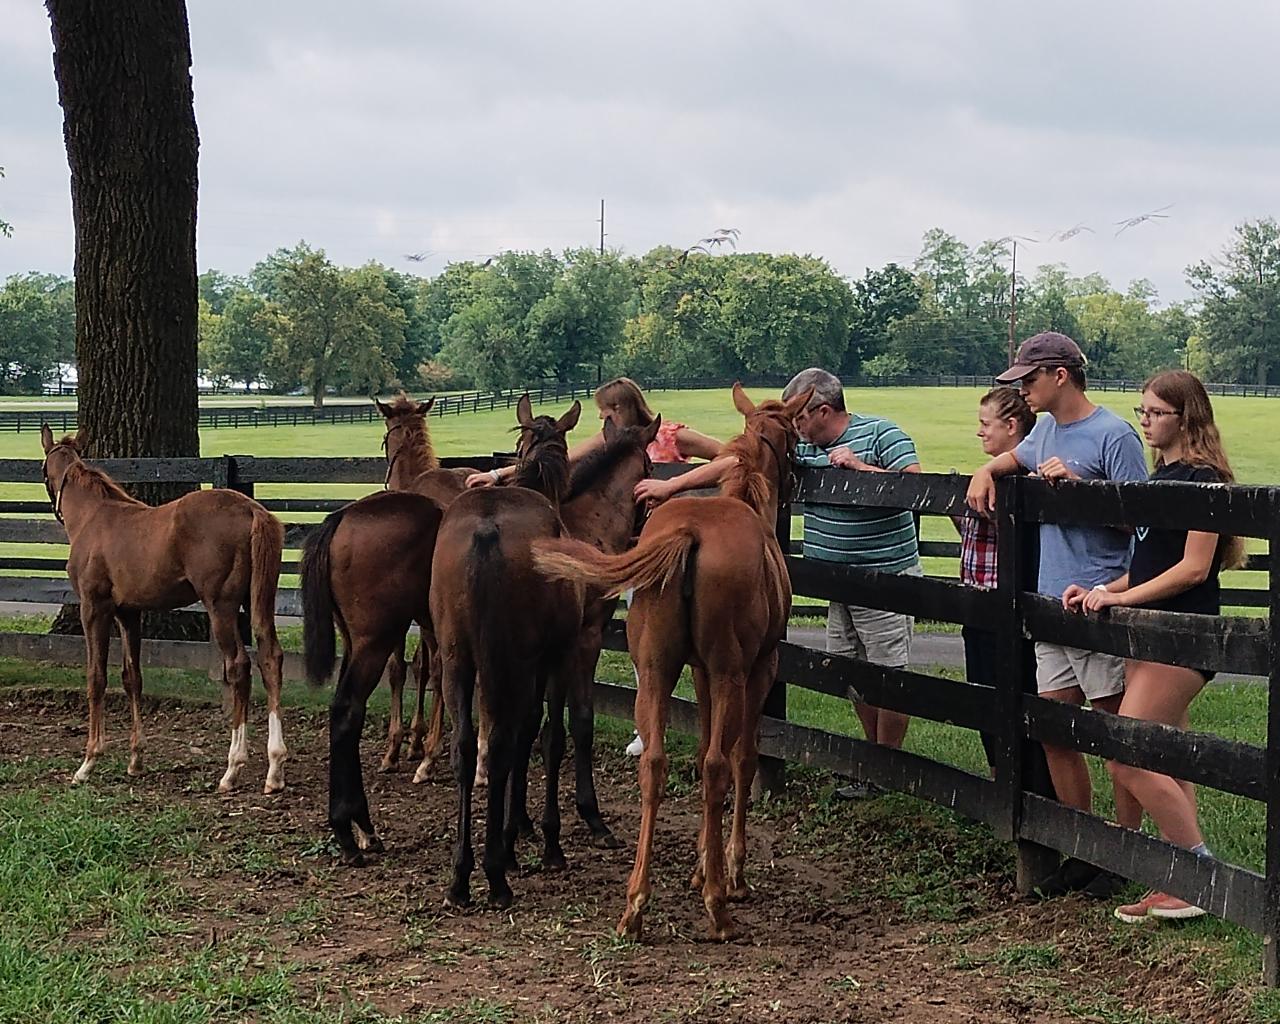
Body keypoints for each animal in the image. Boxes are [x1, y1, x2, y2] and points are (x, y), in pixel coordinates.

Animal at [39, 425, 287, 794]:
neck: (93, 517)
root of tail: (252, 511)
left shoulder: (93, 608)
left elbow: (96, 677)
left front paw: (88, 762)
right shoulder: (128, 613)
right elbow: (132, 678)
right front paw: (136, 759)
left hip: (221, 607)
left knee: (239, 667)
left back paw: (232, 767)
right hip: (258, 601)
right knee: (270, 658)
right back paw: (274, 768)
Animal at [299, 488, 444, 866]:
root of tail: (342, 518)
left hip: (355, 642)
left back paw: (360, 829)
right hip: (374, 641)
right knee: (348, 712)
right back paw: (351, 829)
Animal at [430, 395, 583, 909]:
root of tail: (485, 532)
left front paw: (513, 836)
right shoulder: (554, 658)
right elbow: (546, 737)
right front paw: (541, 841)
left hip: (458, 660)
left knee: (464, 748)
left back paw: (461, 875)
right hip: (506, 661)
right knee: (498, 744)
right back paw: (495, 875)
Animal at [531, 383, 810, 940]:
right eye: (792, 437)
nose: (800, 475)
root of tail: (688, 538)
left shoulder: (699, 672)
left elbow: (700, 746)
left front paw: (702, 863)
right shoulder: (755, 668)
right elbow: (741, 759)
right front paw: (730, 871)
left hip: (656, 672)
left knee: (655, 766)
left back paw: (636, 904)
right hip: (728, 672)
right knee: (719, 765)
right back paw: (718, 906)